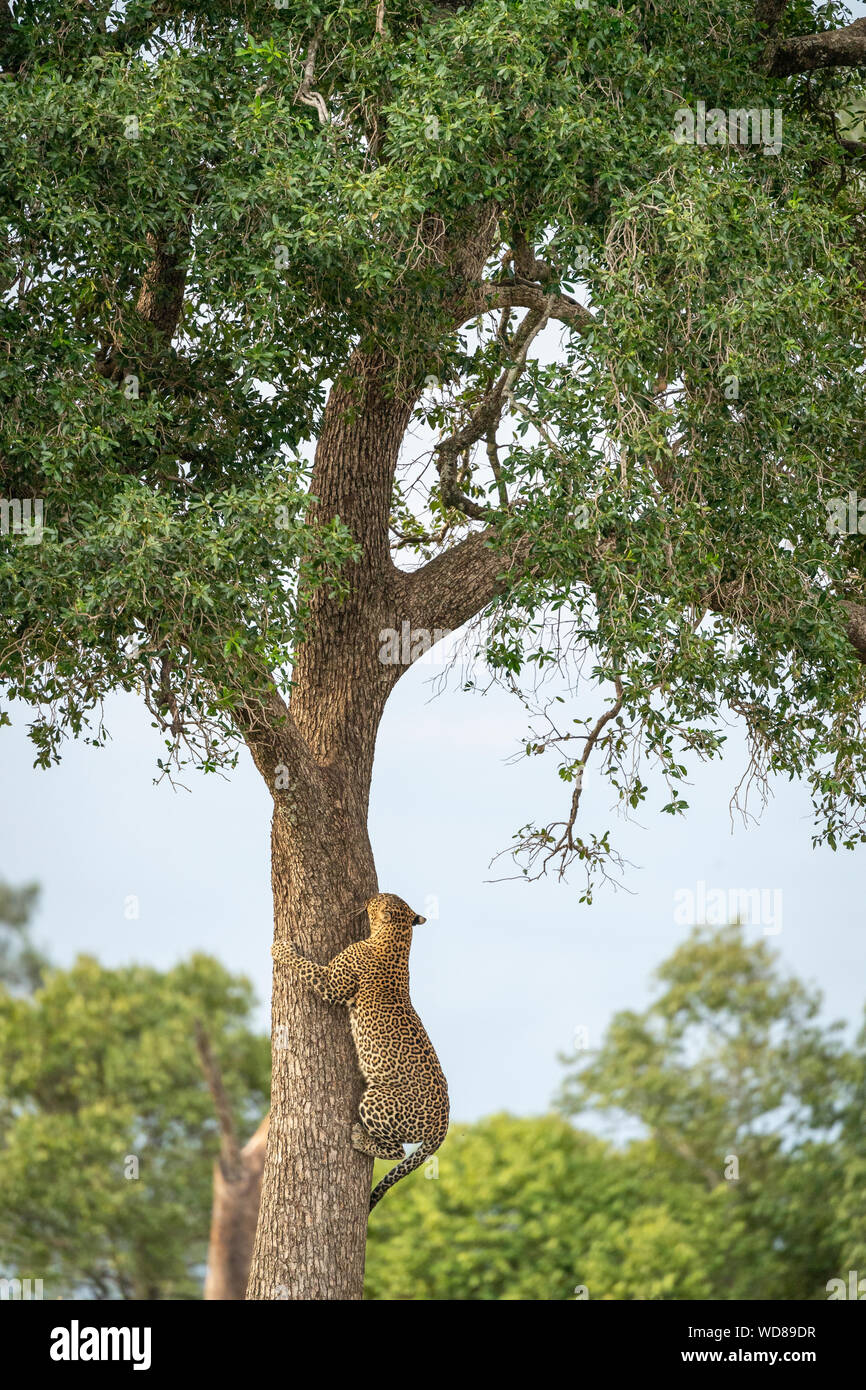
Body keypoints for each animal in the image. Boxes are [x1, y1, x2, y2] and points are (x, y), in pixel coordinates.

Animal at [271, 892, 449, 1211]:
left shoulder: (333, 986)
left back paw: (358, 1139)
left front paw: (281, 949)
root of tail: (444, 1122)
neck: (397, 939)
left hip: (377, 1099)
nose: (371, 895)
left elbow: (306, 967)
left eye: (381, 898)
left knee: (397, 1150)